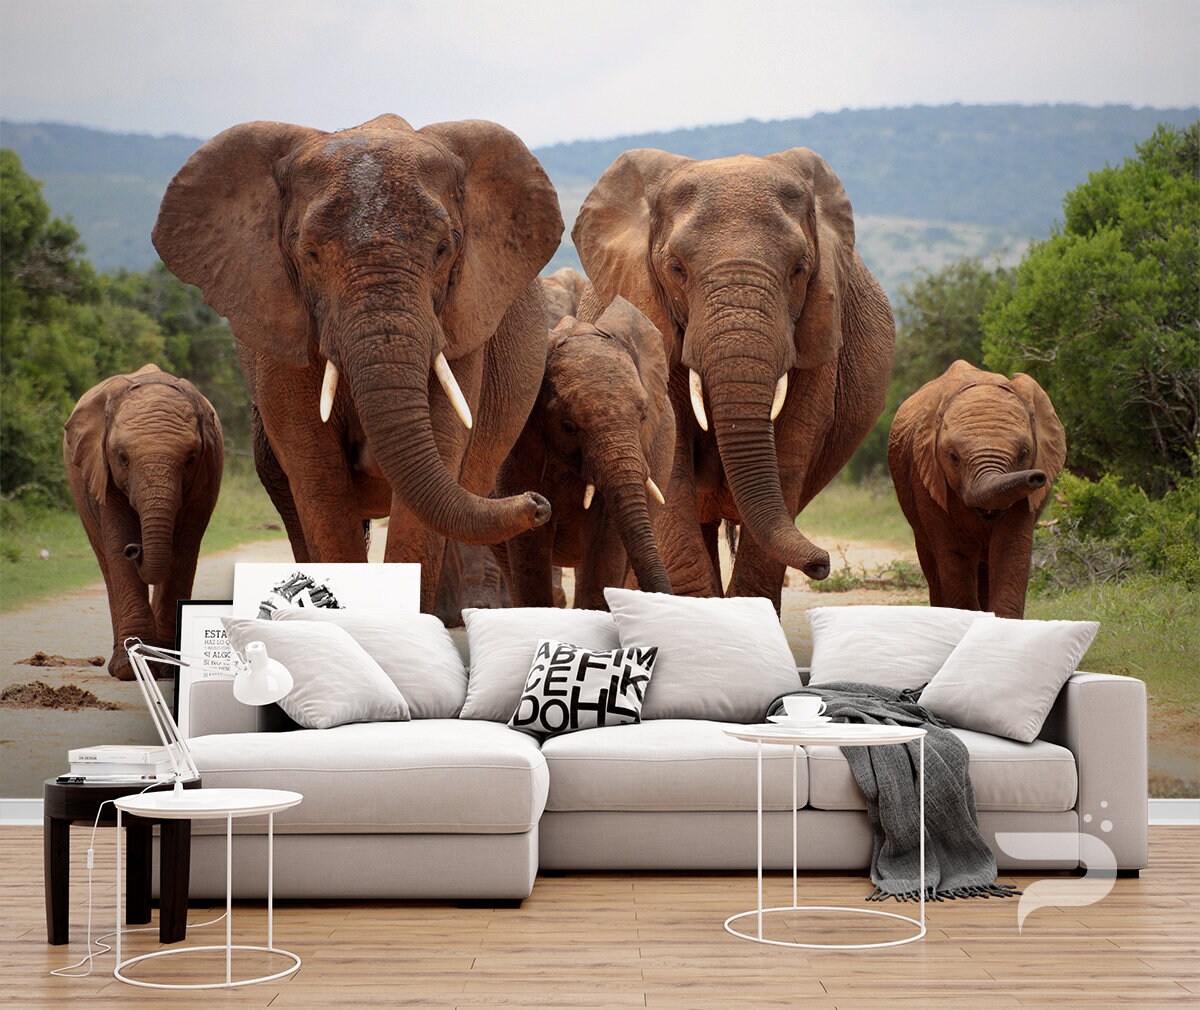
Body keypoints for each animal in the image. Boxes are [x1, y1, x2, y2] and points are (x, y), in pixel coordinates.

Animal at [63, 364, 223, 679]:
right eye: (122, 457)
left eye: (190, 459)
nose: (135, 550)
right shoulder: (102, 470)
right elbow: (118, 541)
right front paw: (131, 668)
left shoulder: (206, 474)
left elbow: (184, 549)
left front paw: (168, 668)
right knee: (106, 560)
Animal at [152, 115, 564, 612]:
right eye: (309, 253)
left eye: (444, 250)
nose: (538, 504)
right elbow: (320, 480)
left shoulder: (463, 326)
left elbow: (435, 467)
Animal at [573, 147, 895, 609]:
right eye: (676, 268)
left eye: (800, 269)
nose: (823, 564)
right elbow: (671, 455)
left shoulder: (818, 335)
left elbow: (791, 449)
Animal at [888, 359, 1067, 618]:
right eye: (953, 457)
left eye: (1024, 454)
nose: (1037, 478)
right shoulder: (927, 480)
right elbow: (954, 554)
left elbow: (1011, 549)